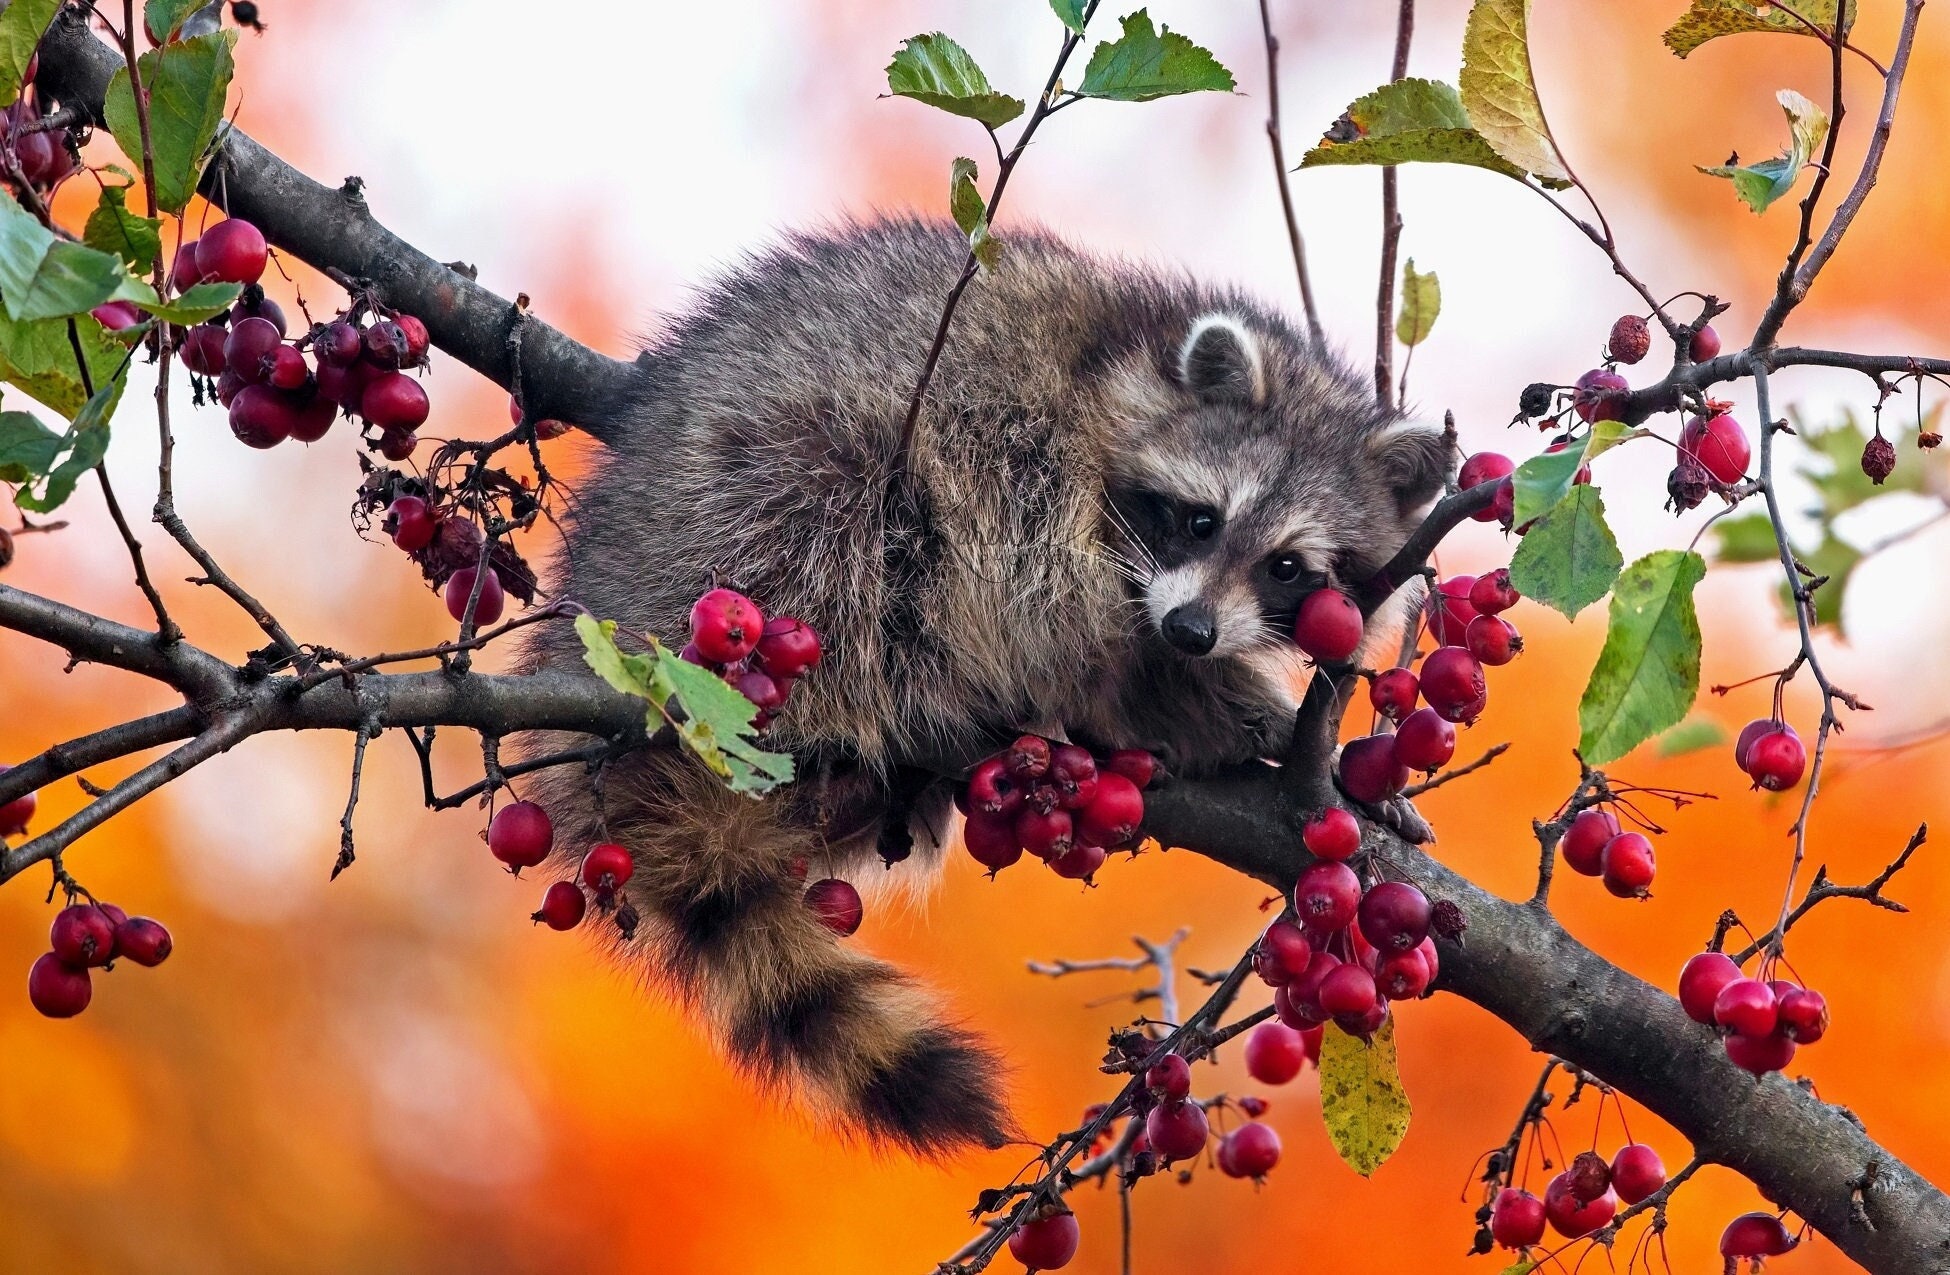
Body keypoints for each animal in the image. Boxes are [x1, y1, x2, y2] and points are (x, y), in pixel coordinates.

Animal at [516, 218, 1449, 1154]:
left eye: (1287, 567)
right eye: (1200, 519)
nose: (1192, 629)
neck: (1128, 363)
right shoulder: (1036, 466)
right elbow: (1086, 638)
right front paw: (1231, 715)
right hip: (753, 503)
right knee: (841, 522)